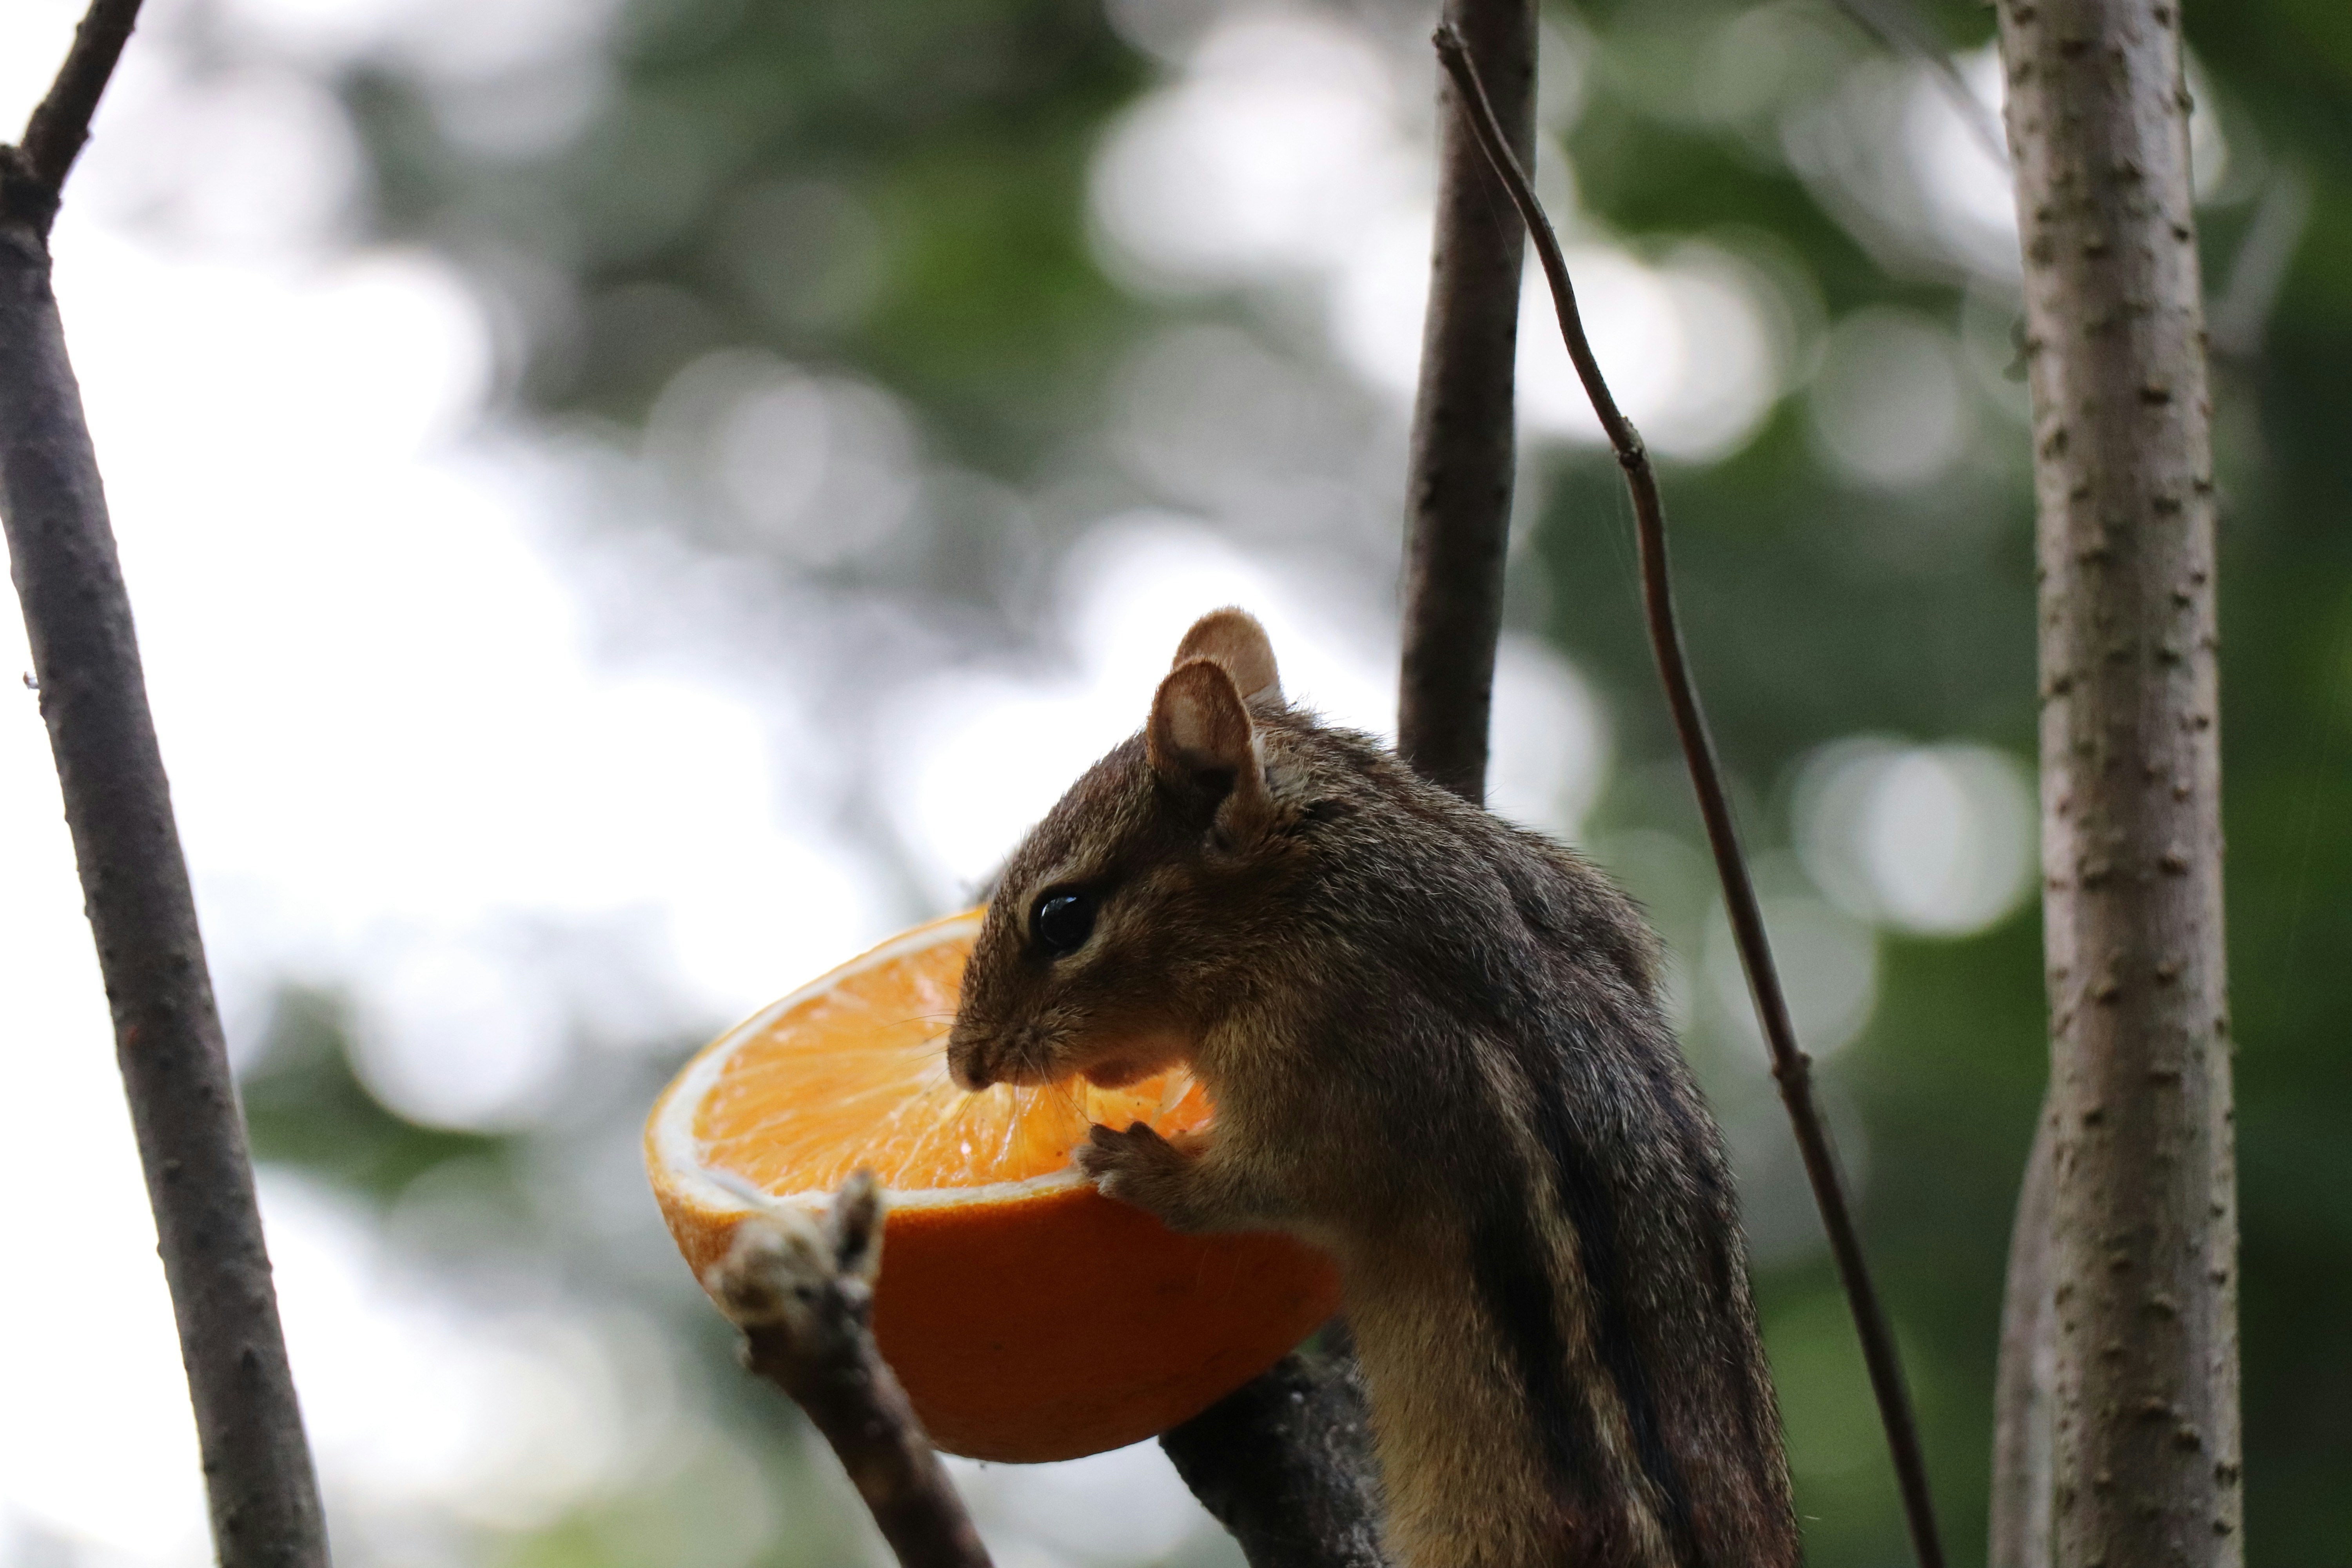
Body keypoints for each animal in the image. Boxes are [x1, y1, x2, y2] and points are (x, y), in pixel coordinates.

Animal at [946, 608, 1797, 1568]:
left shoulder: (1336, 1073)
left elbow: (1260, 1184)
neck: (1314, 892)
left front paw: (1143, 1163)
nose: (964, 1062)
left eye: (1063, 917)